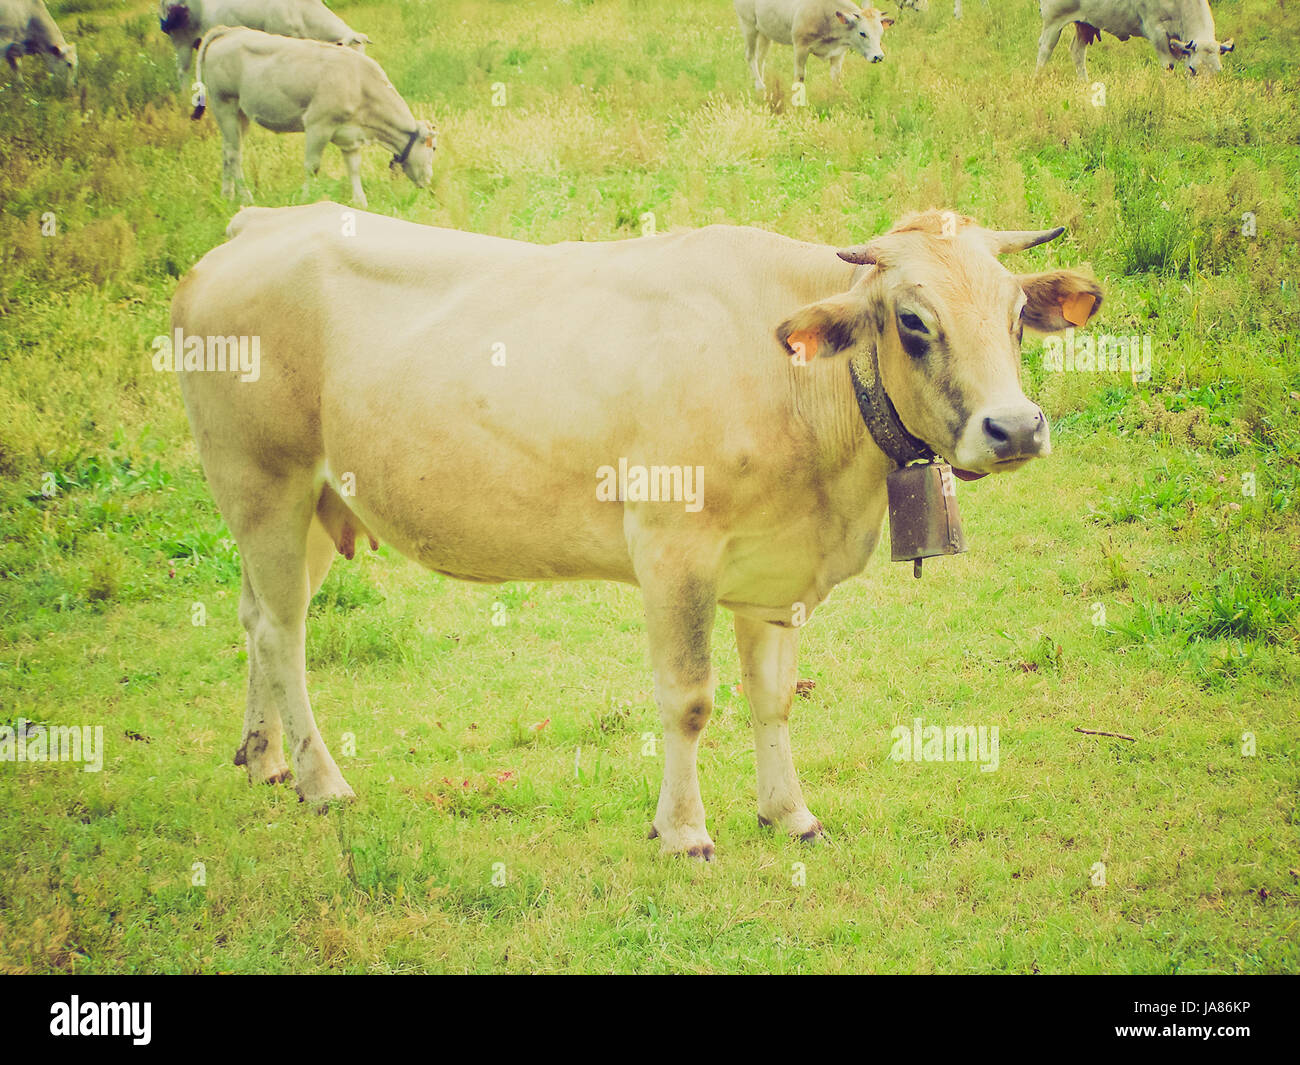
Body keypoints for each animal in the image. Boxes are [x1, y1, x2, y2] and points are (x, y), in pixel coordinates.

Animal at [170, 204, 1101, 858]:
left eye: (1016, 314)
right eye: (912, 321)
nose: (1015, 427)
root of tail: (262, 222)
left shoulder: (774, 570)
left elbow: (773, 695)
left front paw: (789, 811)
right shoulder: (672, 548)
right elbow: (689, 699)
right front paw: (684, 830)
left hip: (310, 503)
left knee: (257, 619)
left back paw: (265, 756)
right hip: (264, 481)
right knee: (285, 632)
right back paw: (321, 779)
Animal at [190, 27, 435, 208]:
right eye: (433, 148)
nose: (429, 180)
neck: (359, 83)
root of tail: (229, 30)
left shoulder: (350, 135)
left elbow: (354, 167)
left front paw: (360, 203)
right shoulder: (319, 124)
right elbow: (312, 166)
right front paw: (306, 199)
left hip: (241, 113)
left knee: (227, 151)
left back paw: (227, 196)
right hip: (225, 103)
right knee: (235, 154)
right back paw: (246, 197)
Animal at [735, 0, 894, 91]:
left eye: (881, 32)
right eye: (862, 33)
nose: (878, 56)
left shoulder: (839, 52)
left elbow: (836, 78)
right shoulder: (800, 48)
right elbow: (799, 77)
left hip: (765, 33)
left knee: (760, 59)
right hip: (748, 25)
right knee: (750, 56)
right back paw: (760, 86)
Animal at [1036, 0, 1233, 80]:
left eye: (1218, 71)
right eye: (1193, 69)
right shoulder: (1156, 31)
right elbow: (1168, 66)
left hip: (1085, 24)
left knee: (1077, 52)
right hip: (1053, 21)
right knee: (1045, 50)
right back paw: (1037, 81)